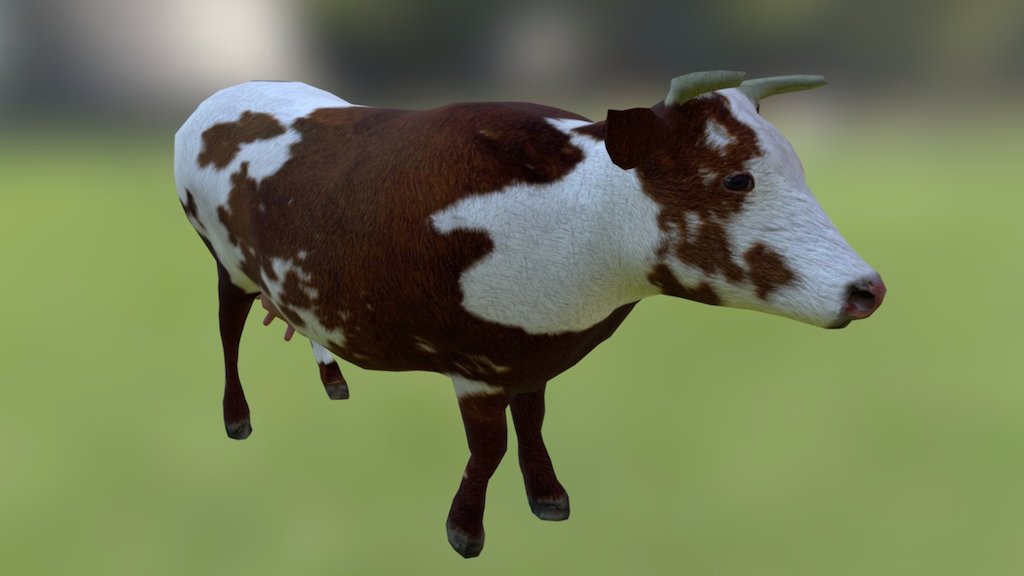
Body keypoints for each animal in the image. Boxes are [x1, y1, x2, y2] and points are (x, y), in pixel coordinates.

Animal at [174, 71, 885, 557]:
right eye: (737, 180)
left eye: (797, 166)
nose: (867, 290)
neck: (582, 219)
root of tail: (216, 100)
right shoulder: (477, 363)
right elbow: (487, 449)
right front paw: (465, 530)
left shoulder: (532, 350)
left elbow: (535, 424)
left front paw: (548, 497)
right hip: (228, 264)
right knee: (228, 334)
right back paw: (236, 418)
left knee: (303, 318)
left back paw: (333, 378)